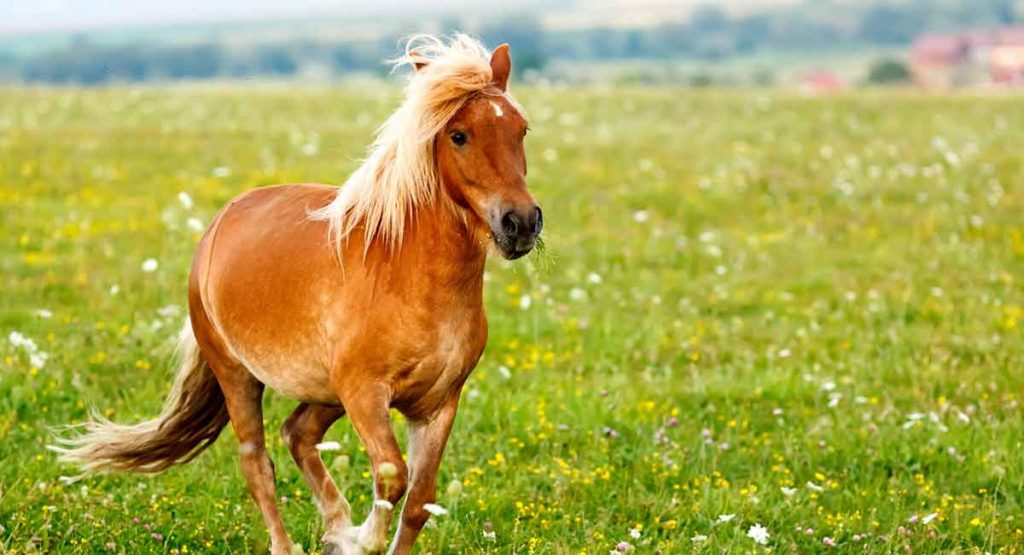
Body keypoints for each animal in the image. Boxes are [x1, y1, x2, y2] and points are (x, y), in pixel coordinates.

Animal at [53, 35, 542, 555]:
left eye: (521, 130)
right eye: (459, 135)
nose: (520, 223)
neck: (411, 278)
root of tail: (221, 222)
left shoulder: (438, 403)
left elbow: (418, 502)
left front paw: (348, 533)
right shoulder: (366, 394)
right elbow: (392, 477)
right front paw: (359, 538)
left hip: (325, 390)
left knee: (298, 433)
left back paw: (334, 524)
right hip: (239, 375)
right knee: (257, 462)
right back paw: (299, 539)